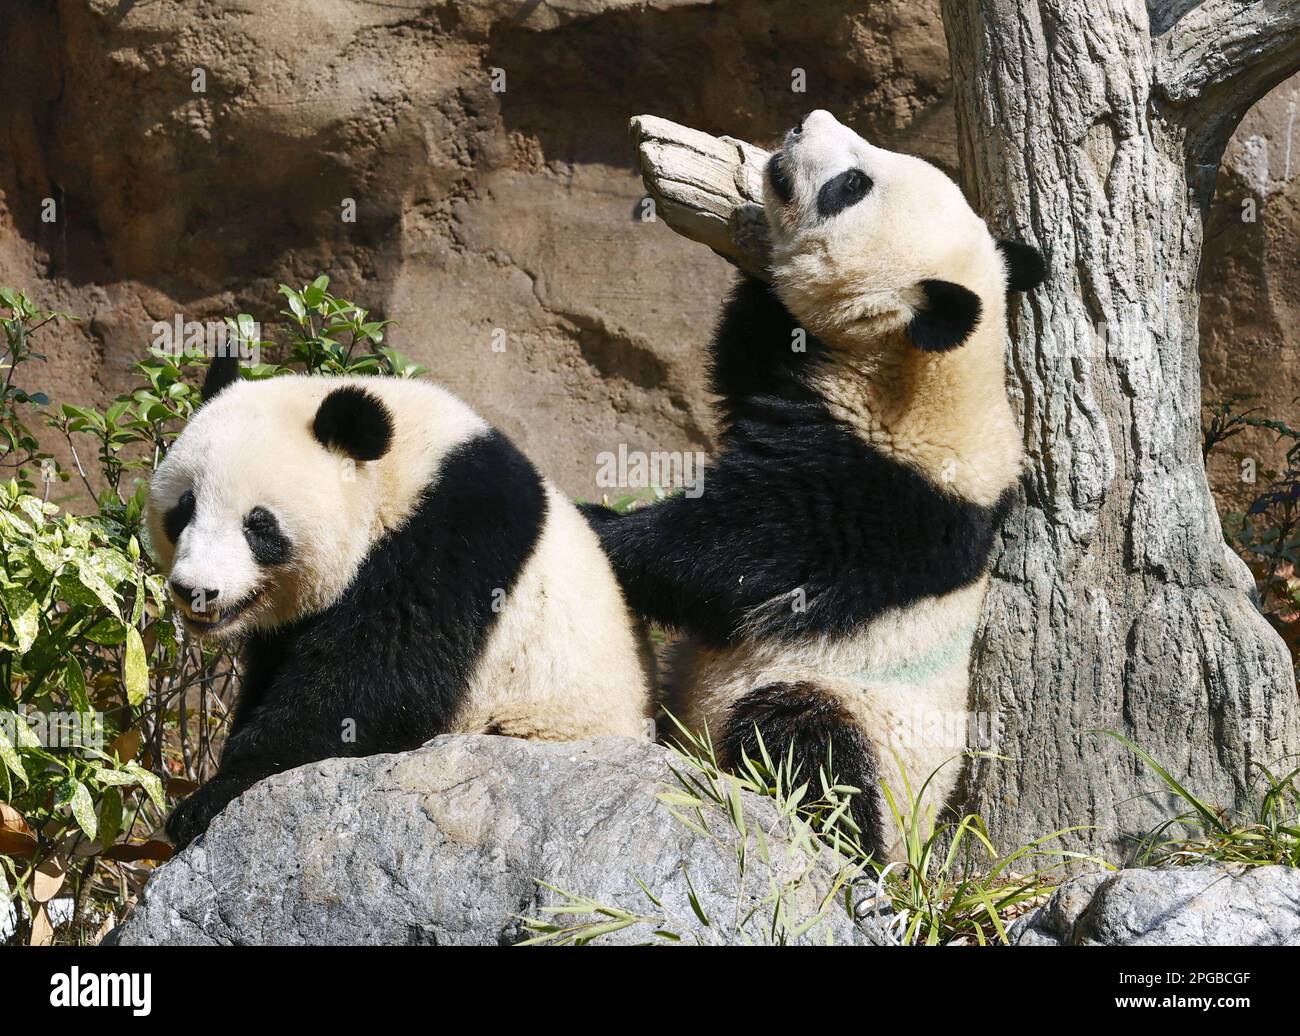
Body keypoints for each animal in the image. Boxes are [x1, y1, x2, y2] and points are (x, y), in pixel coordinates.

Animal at [148, 360, 652, 848]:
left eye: (259, 525)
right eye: (185, 508)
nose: (196, 589)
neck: (402, 472)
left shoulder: (452, 540)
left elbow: (377, 681)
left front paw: (218, 792)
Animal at [583, 110, 1046, 860]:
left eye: (851, 186)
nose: (806, 121)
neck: (931, 375)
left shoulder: (877, 489)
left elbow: (724, 560)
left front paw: (597, 526)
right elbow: (747, 354)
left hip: (863, 724)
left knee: (808, 743)